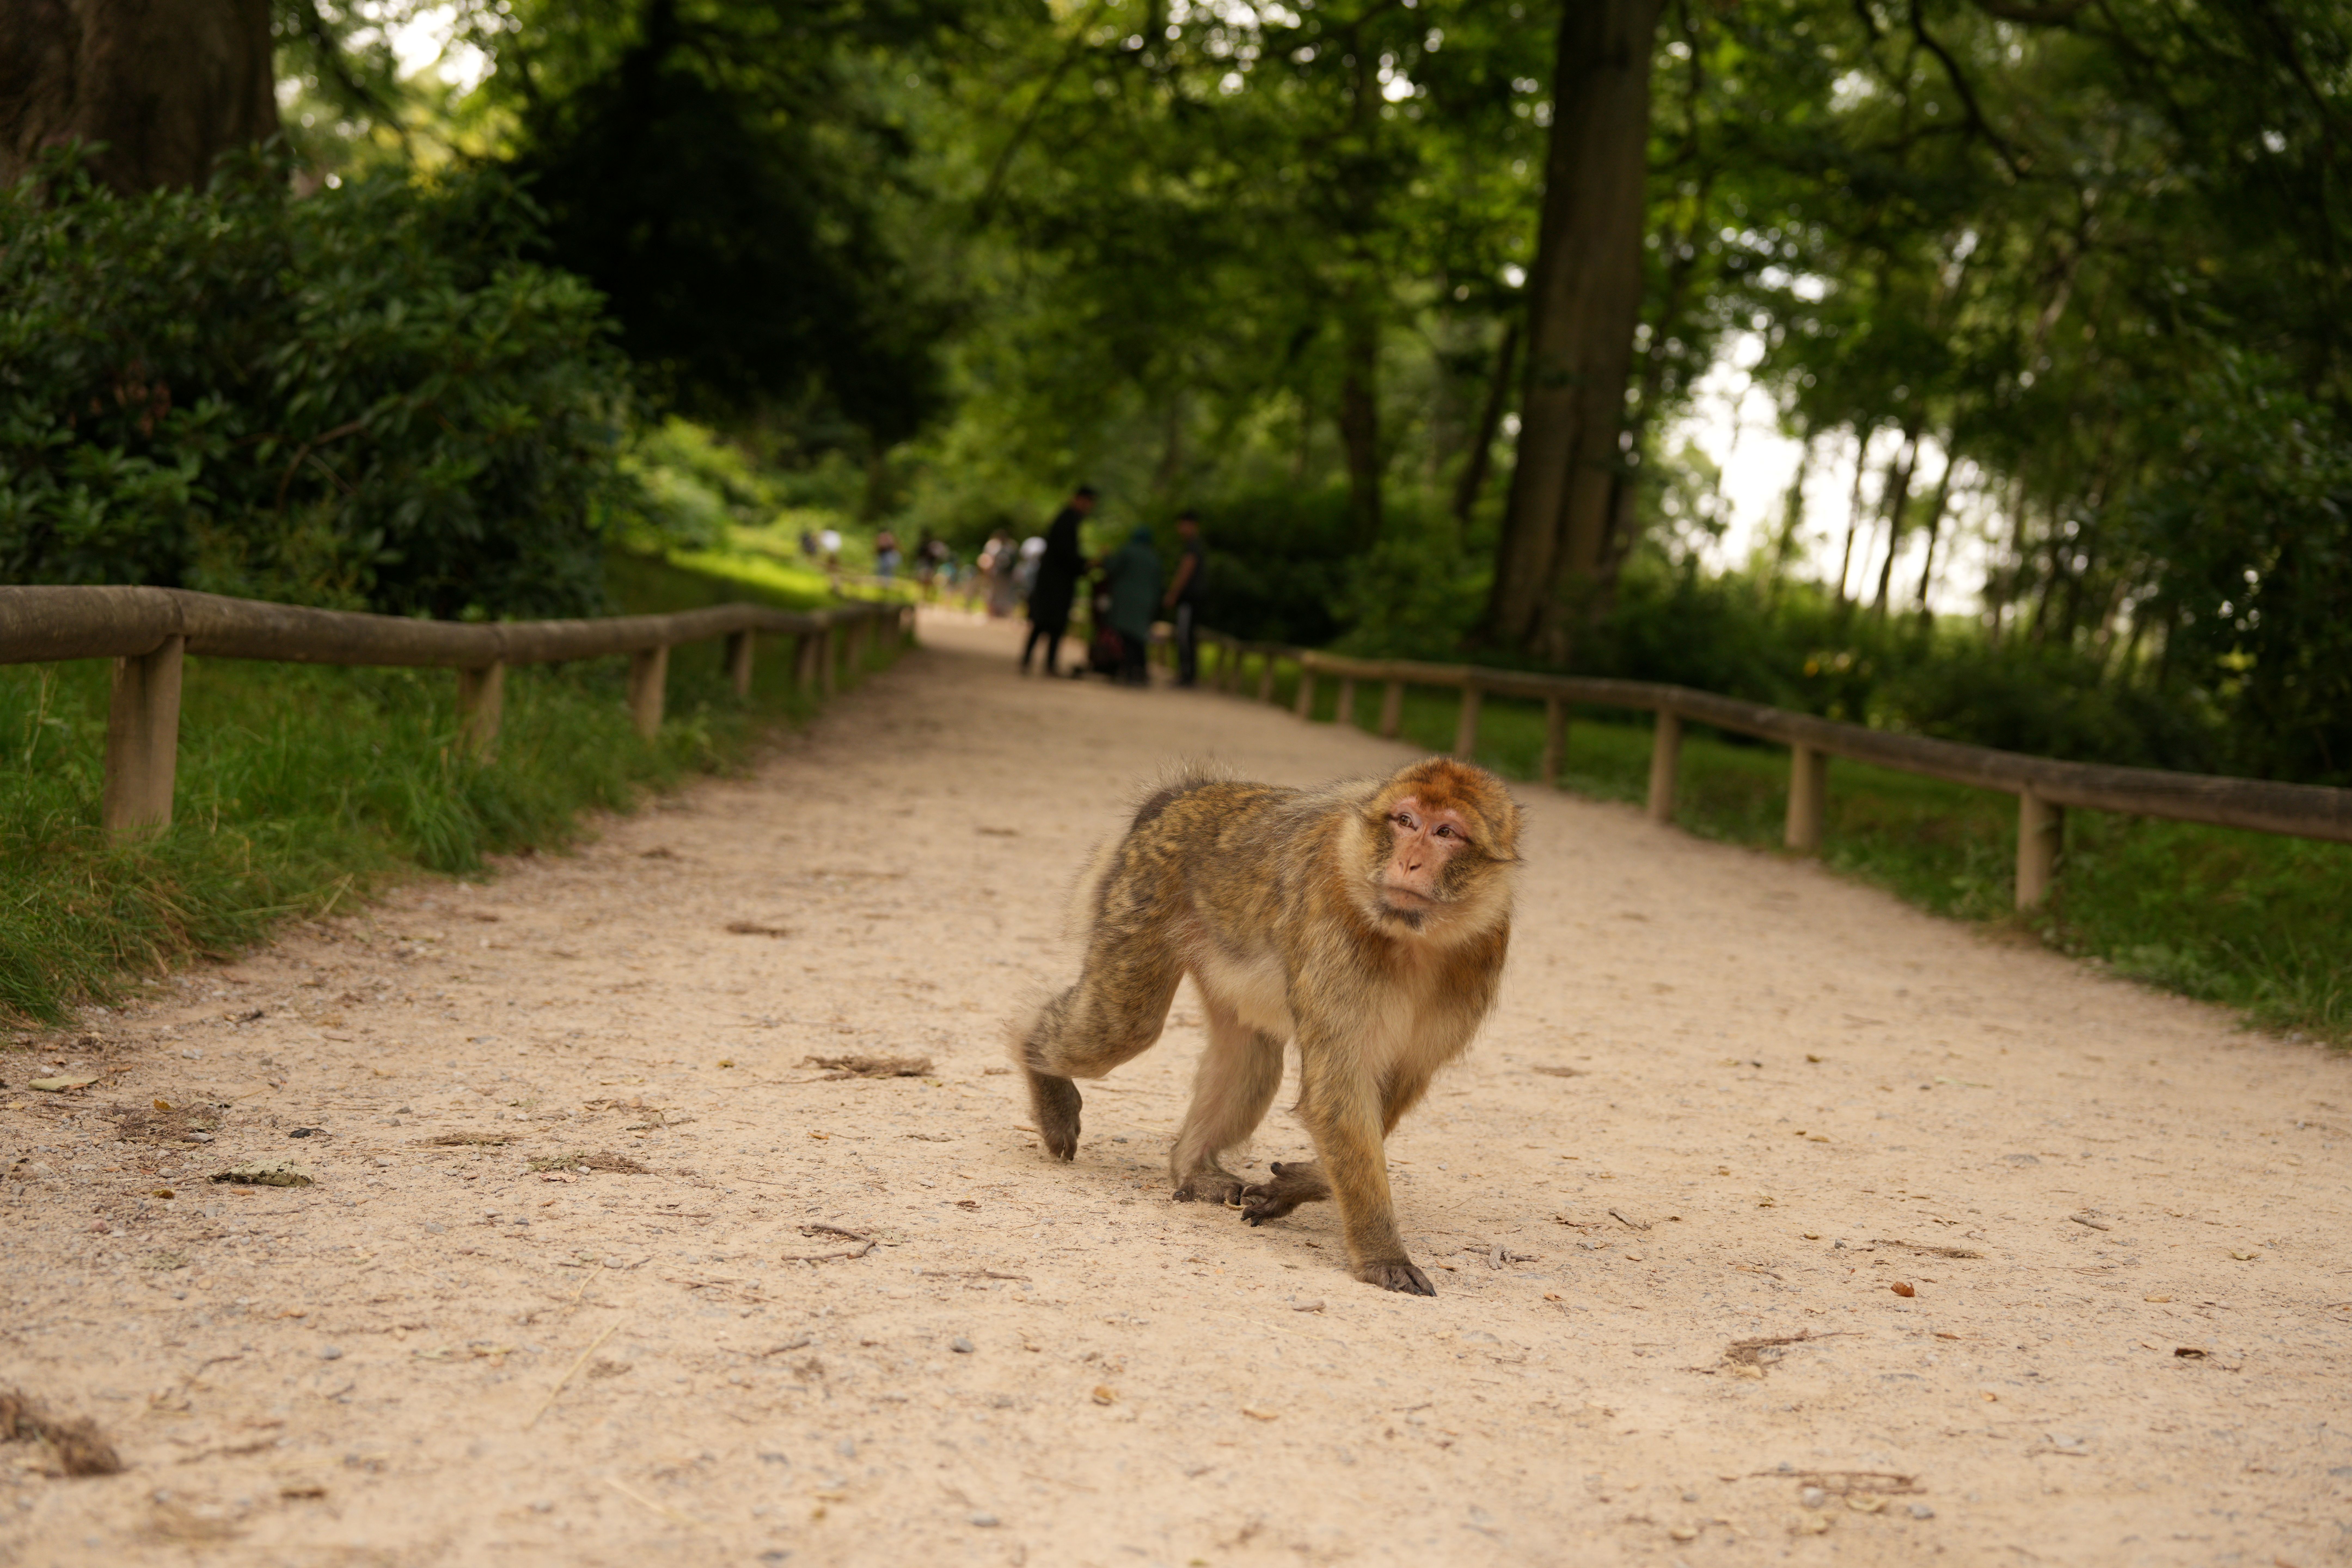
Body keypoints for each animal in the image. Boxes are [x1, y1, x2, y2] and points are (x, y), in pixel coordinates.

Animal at [1010, 756, 1522, 1295]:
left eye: (1447, 832)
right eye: (1406, 821)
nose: (1411, 863)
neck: (1414, 940)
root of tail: (1185, 795)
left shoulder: (1481, 958)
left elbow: (1389, 1088)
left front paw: (1300, 1184)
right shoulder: (1333, 930)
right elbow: (1337, 1095)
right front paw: (1382, 1253)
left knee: (1250, 1059)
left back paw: (1192, 1168)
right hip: (1140, 893)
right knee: (1123, 1026)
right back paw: (1040, 1069)